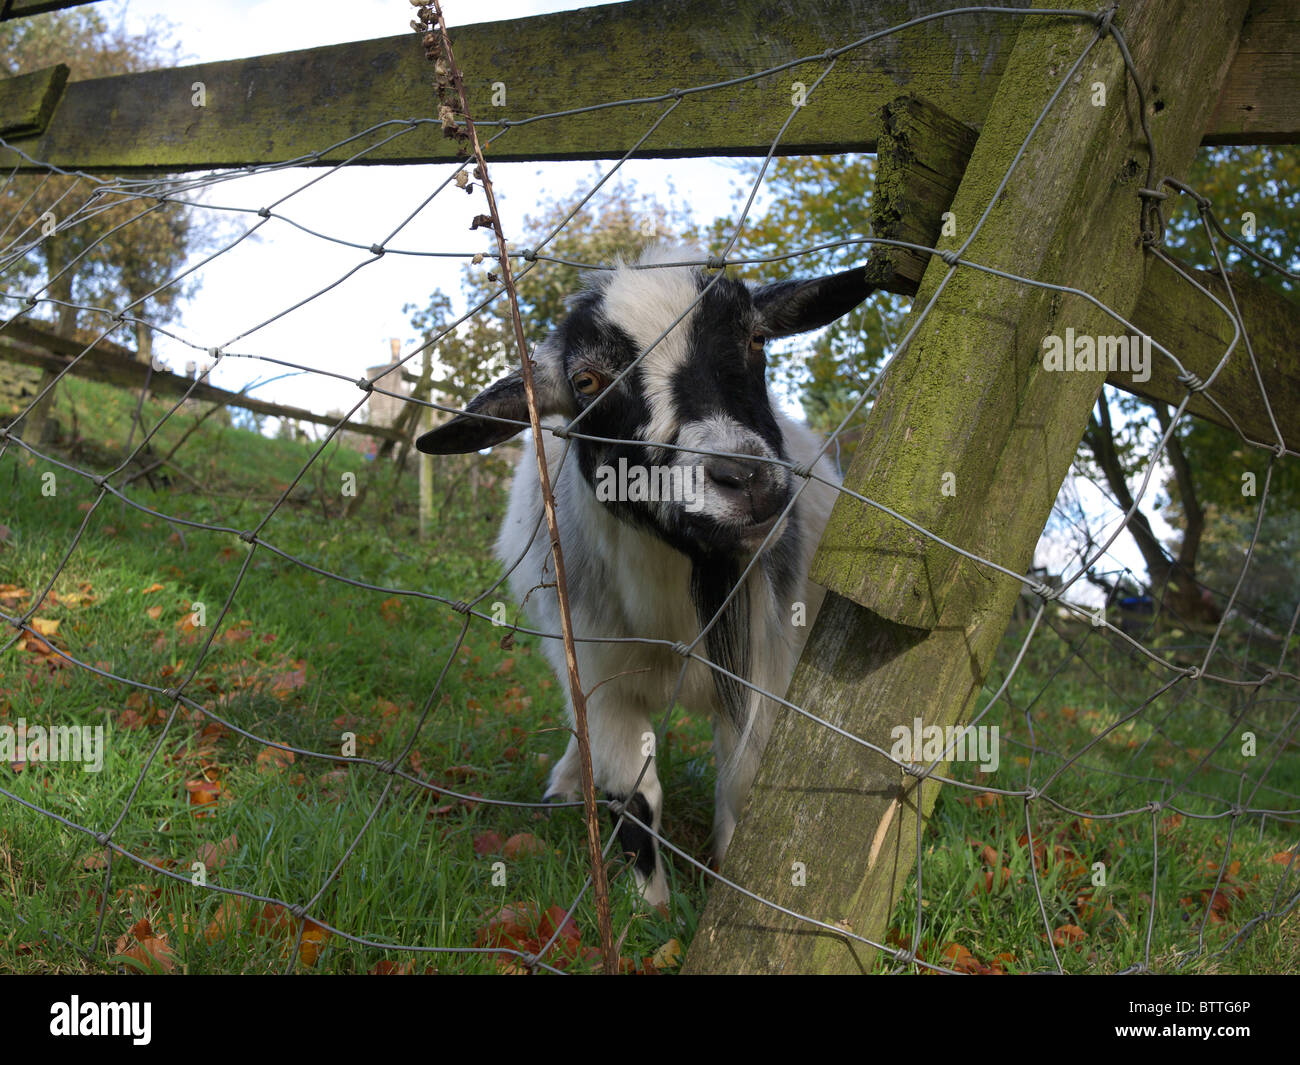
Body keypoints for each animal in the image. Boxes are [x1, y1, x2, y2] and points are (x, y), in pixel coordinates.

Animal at [417, 243, 874, 906]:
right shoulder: (600, 670)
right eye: (587, 382)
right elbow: (634, 793)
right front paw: (649, 906)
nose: (746, 479)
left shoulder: (767, 665)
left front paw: (729, 886)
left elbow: (742, 781)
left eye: (756, 338)